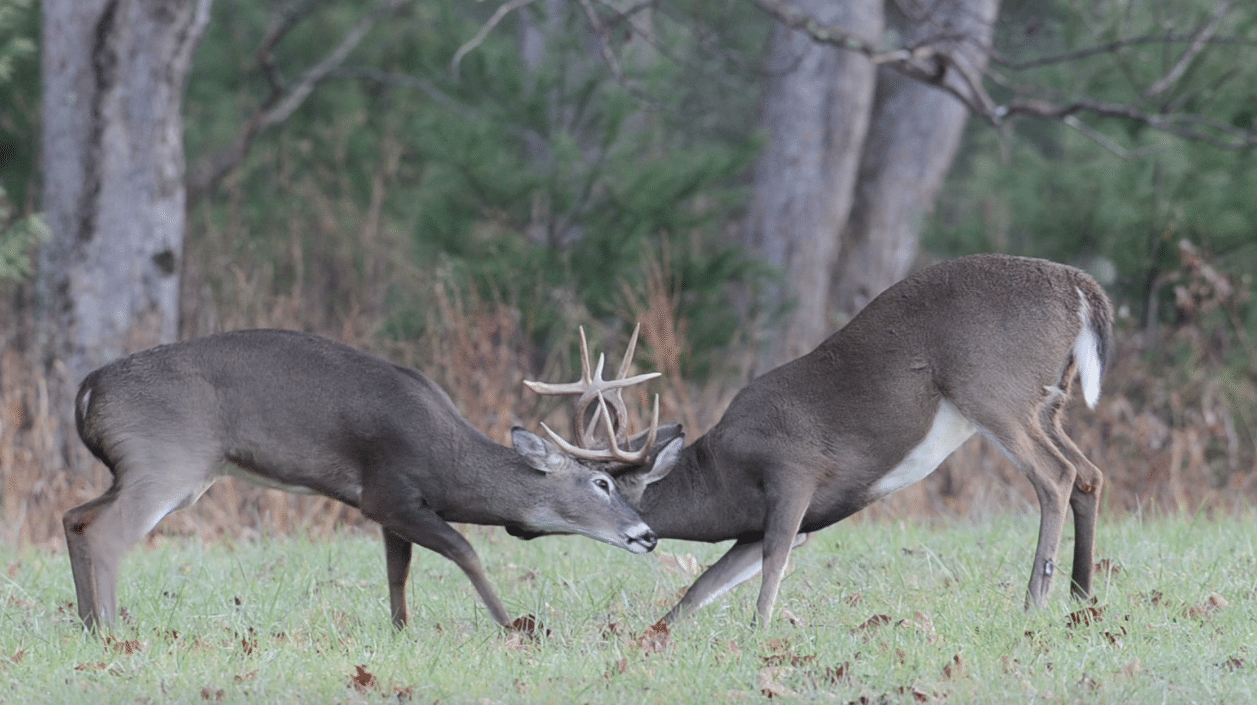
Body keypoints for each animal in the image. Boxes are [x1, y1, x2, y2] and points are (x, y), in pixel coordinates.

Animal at [63, 328, 661, 632]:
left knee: (75, 517)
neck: (449, 463)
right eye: (602, 484)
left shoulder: (390, 512)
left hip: (137, 469)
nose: (647, 535)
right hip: (168, 460)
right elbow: (466, 550)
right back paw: (114, 631)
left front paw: (400, 631)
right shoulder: (389, 494)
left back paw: (89, 624)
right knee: (109, 534)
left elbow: (398, 575)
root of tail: (88, 389)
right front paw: (511, 626)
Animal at [526, 254, 1114, 626]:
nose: (525, 524)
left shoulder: (794, 474)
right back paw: (1081, 597)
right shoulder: (771, 523)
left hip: (993, 390)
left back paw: (1035, 601)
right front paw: (656, 635)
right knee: (1089, 472)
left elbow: (772, 569)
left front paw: (762, 630)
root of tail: (1080, 290)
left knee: (1057, 476)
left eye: (599, 483)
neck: (720, 479)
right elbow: (697, 591)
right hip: (1047, 401)